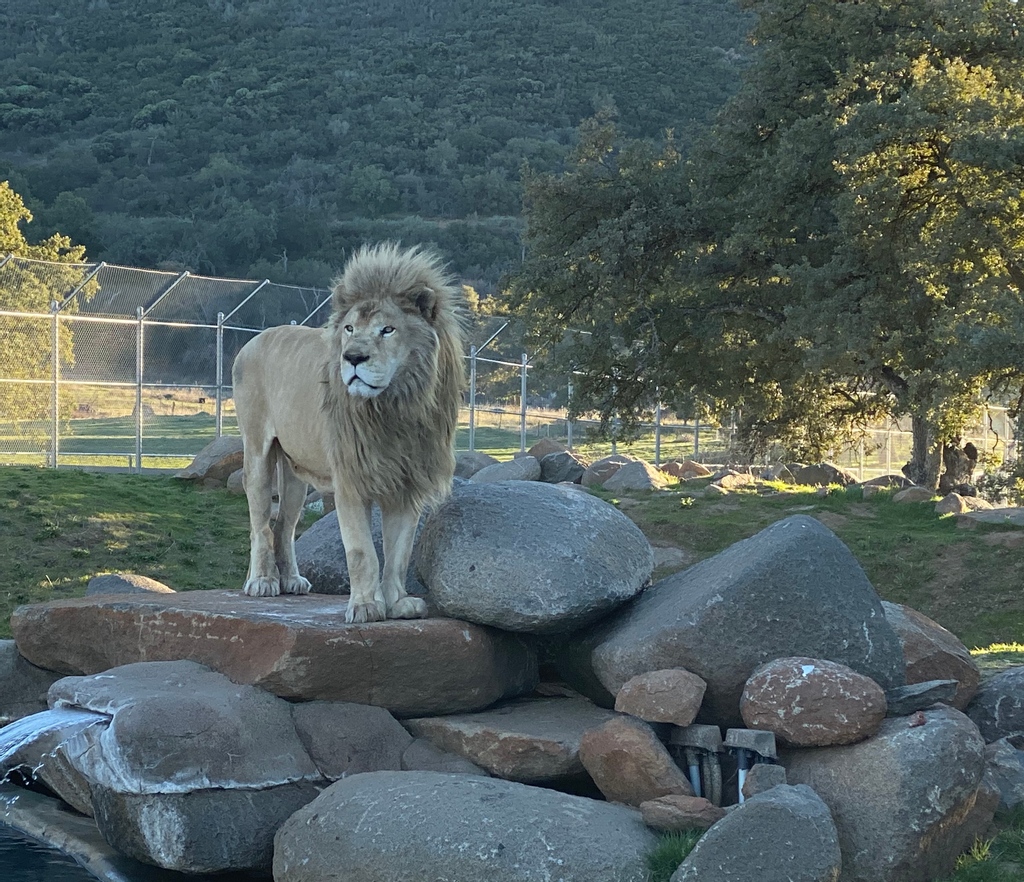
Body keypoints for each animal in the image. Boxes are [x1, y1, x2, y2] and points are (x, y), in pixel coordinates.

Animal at [231, 243, 466, 623]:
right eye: (350, 328)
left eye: (388, 329)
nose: (353, 358)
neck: (394, 409)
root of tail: (253, 340)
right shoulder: (352, 479)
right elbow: (362, 552)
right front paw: (366, 606)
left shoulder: (407, 482)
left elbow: (399, 553)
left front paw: (399, 603)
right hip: (257, 453)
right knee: (260, 525)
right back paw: (263, 581)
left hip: (295, 475)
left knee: (284, 526)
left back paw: (291, 580)